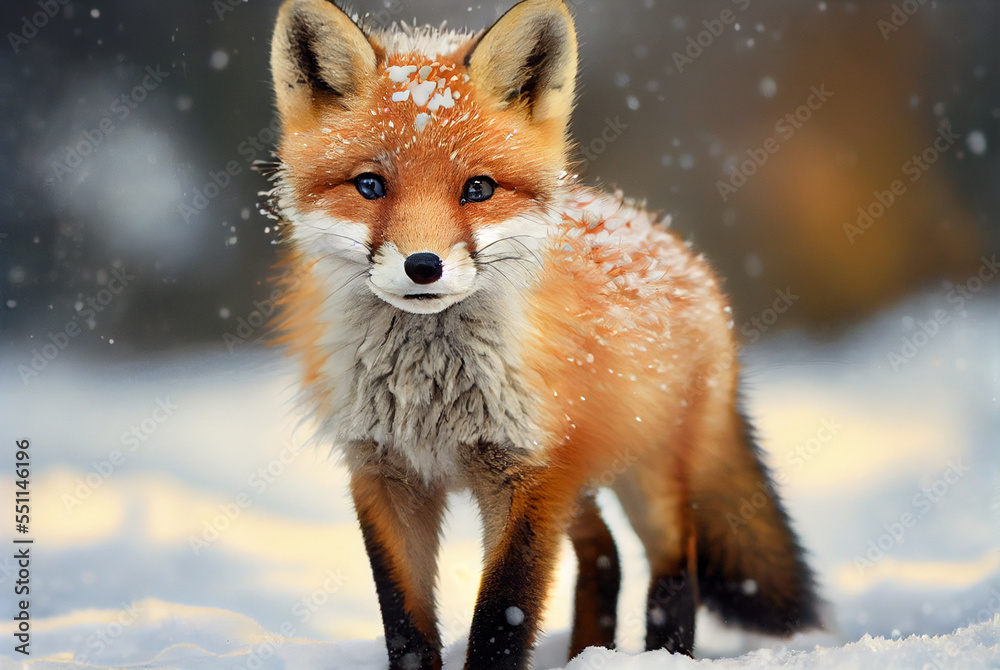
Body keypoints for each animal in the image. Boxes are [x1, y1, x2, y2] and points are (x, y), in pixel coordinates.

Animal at [265, 1, 820, 668]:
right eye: (370, 185)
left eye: (478, 188)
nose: (423, 266)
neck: (433, 396)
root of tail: (673, 243)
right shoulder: (384, 473)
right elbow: (406, 626)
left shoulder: (528, 475)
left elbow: (504, 616)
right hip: (579, 481)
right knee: (604, 554)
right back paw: (587, 653)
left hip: (648, 474)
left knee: (672, 569)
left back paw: (661, 654)